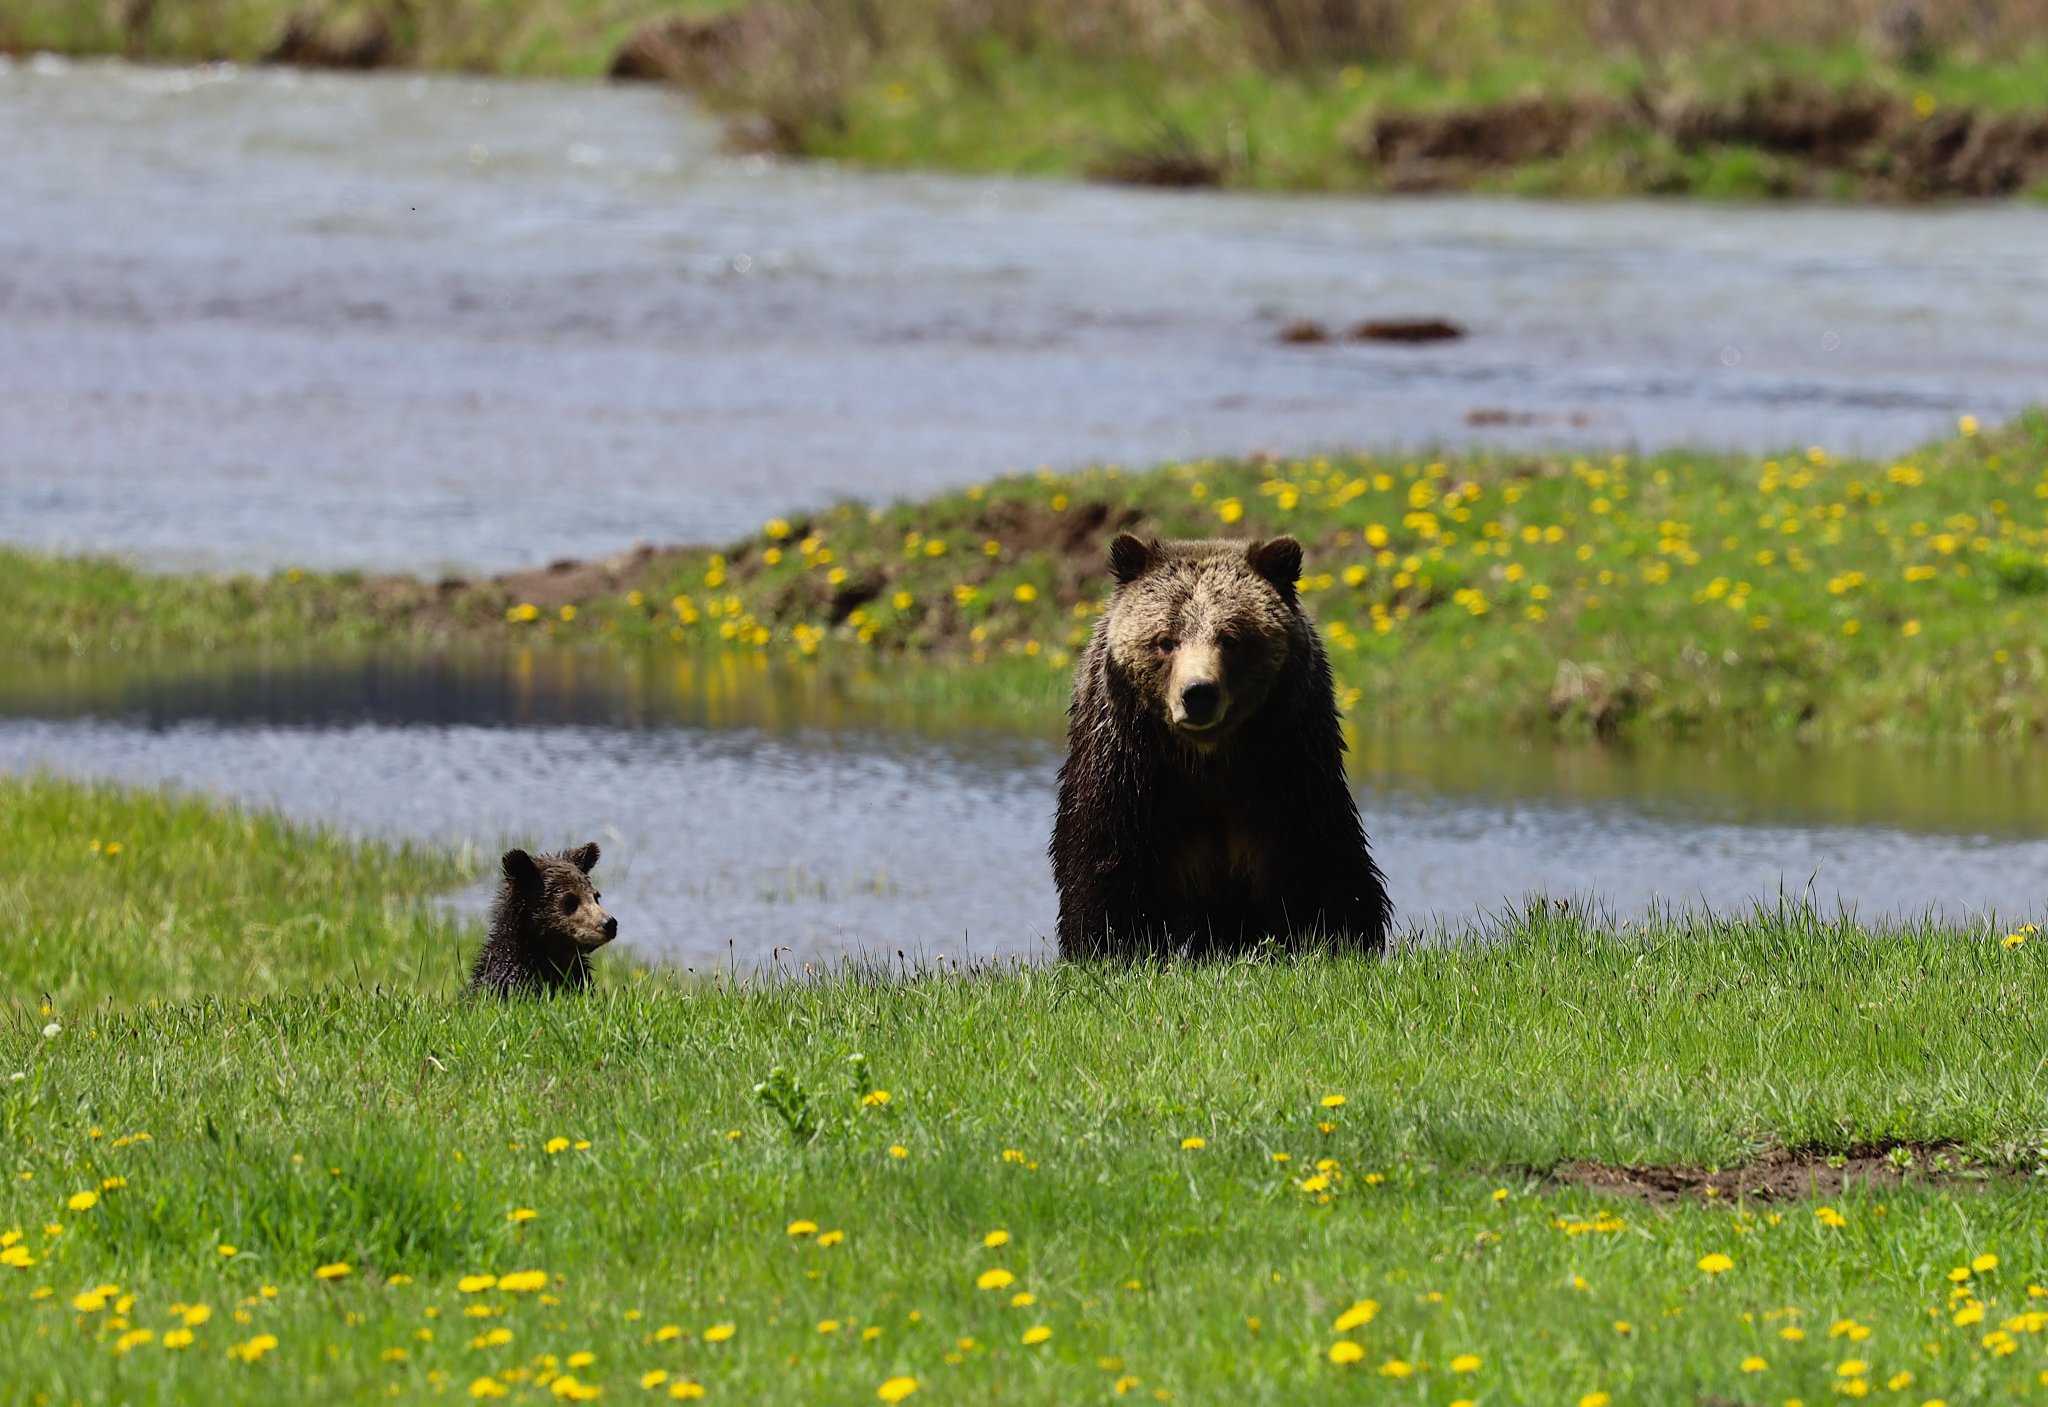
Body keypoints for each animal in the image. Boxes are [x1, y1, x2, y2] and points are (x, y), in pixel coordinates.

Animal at [1050, 534, 1392, 959]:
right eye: (1166, 640)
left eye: (1231, 639)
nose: (1198, 693)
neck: (1207, 757)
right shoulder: (1129, 766)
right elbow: (1107, 855)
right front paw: (1106, 943)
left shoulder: (1289, 762)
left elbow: (1319, 855)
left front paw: (1339, 933)